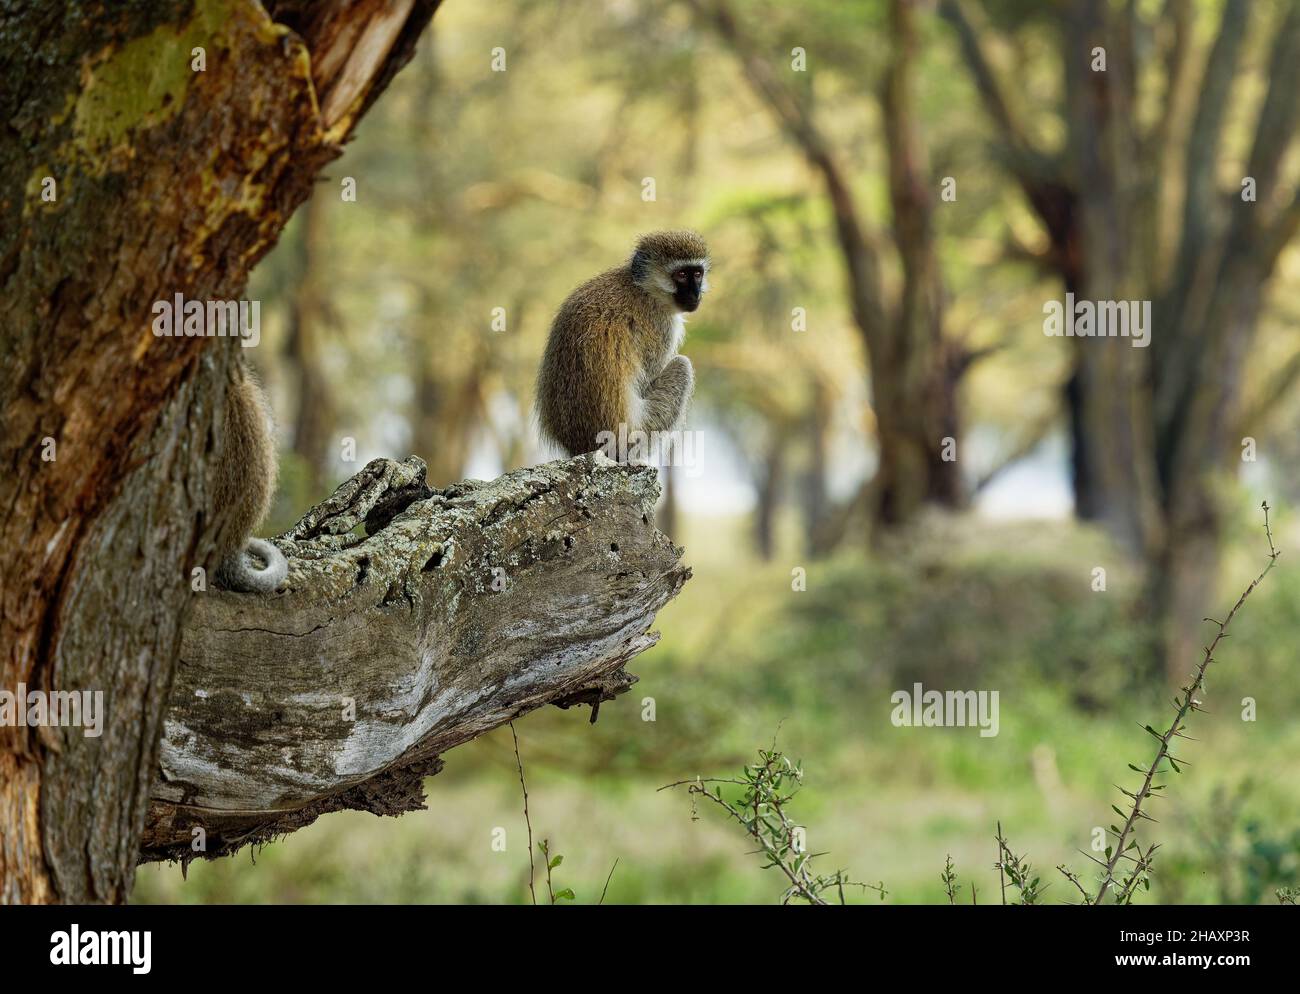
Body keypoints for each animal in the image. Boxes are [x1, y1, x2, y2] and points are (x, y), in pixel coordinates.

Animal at [535, 229, 708, 459]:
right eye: (681, 275)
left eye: (697, 274)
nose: (695, 294)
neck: (642, 288)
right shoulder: (661, 325)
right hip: (640, 431)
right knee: (682, 365)